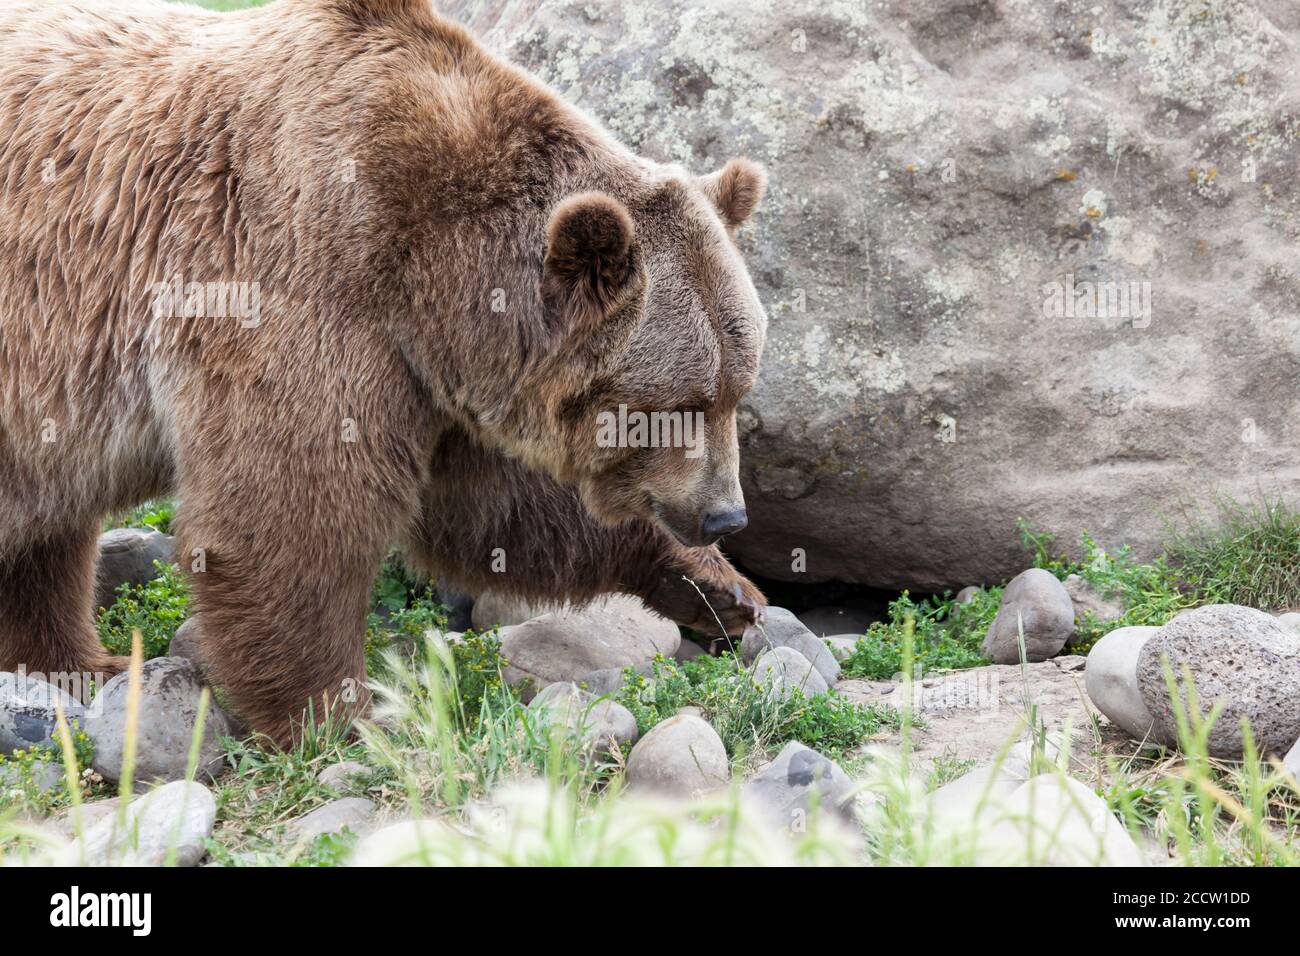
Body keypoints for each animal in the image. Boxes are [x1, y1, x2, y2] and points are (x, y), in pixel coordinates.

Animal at [0, 0, 769, 745]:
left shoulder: (434, 373)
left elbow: (495, 510)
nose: (726, 514)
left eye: (737, 390)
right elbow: (292, 511)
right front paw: (339, 714)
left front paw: (717, 587)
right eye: (683, 401)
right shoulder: (295, 276)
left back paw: (75, 664)